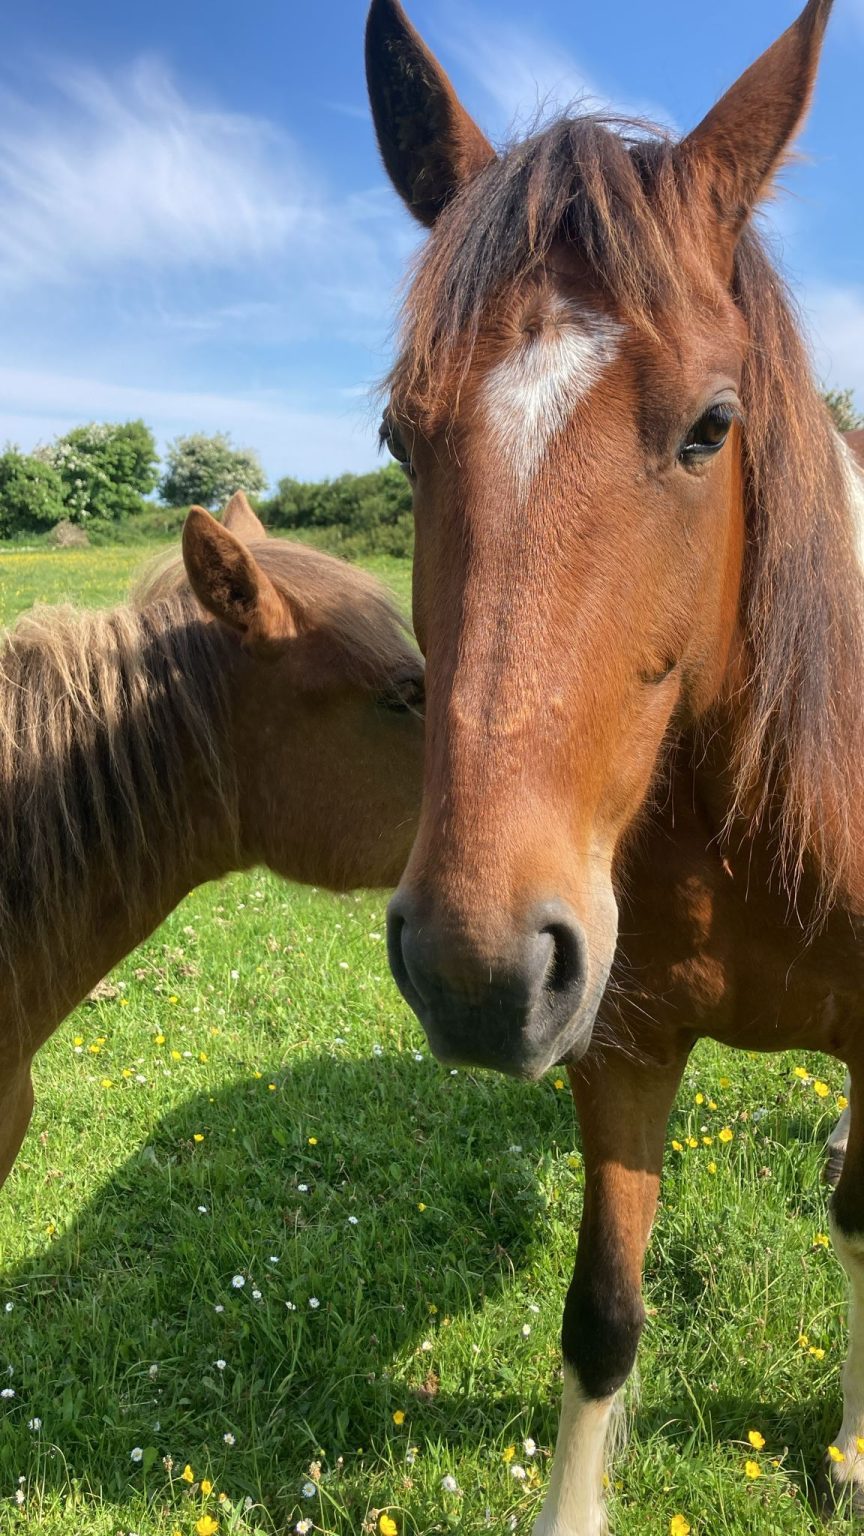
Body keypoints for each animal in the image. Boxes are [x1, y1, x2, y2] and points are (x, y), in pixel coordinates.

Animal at [365, 0, 864, 1529]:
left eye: (711, 426)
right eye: (401, 436)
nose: (476, 970)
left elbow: (858, 1225)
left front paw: (854, 1452)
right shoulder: (623, 1049)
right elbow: (603, 1319)